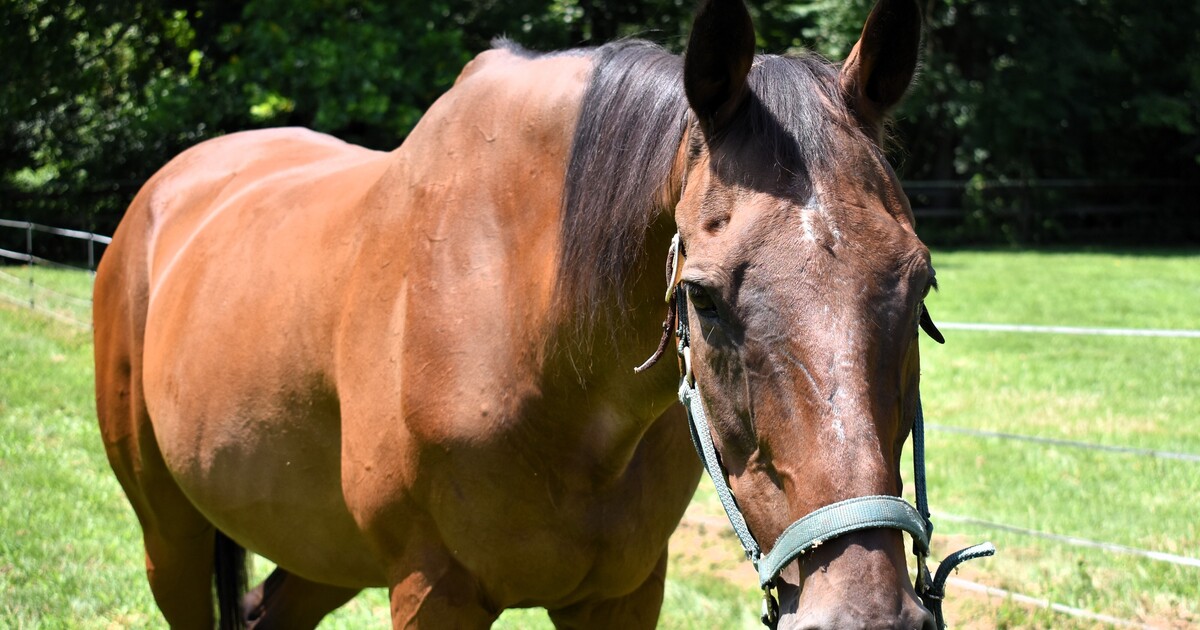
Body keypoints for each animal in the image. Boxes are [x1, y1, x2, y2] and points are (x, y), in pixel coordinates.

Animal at [94, 0, 942, 627]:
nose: (864, 614)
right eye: (700, 296)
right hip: (169, 535)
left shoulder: (623, 595)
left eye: (920, 284)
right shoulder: (432, 592)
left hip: (318, 551)